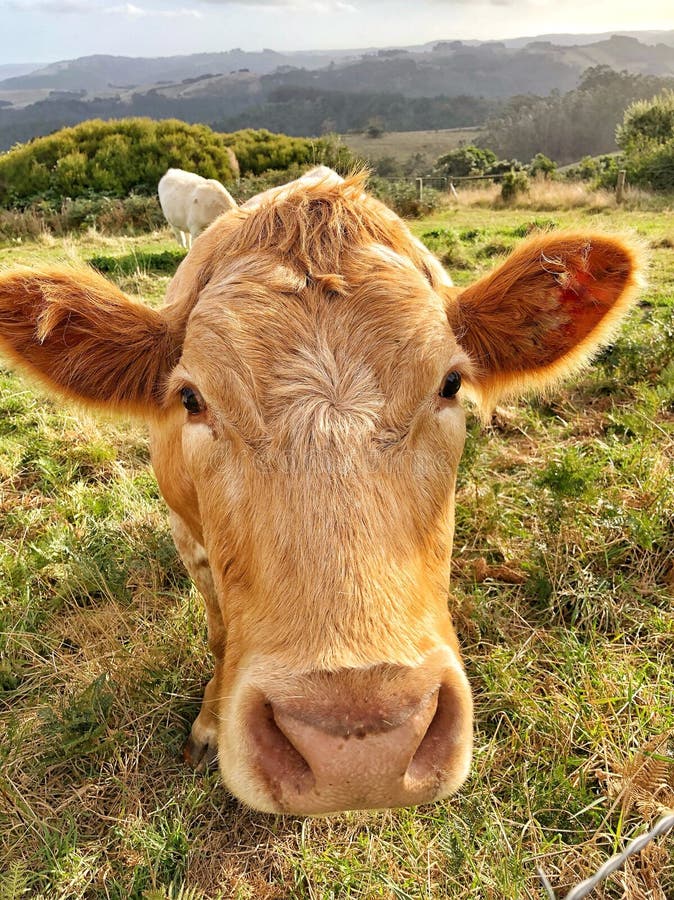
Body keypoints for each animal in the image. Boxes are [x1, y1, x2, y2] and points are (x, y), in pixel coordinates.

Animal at [0, 168, 642, 815]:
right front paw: (207, 724)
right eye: (191, 398)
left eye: (451, 383)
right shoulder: (188, 536)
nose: (359, 750)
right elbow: (218, 628)